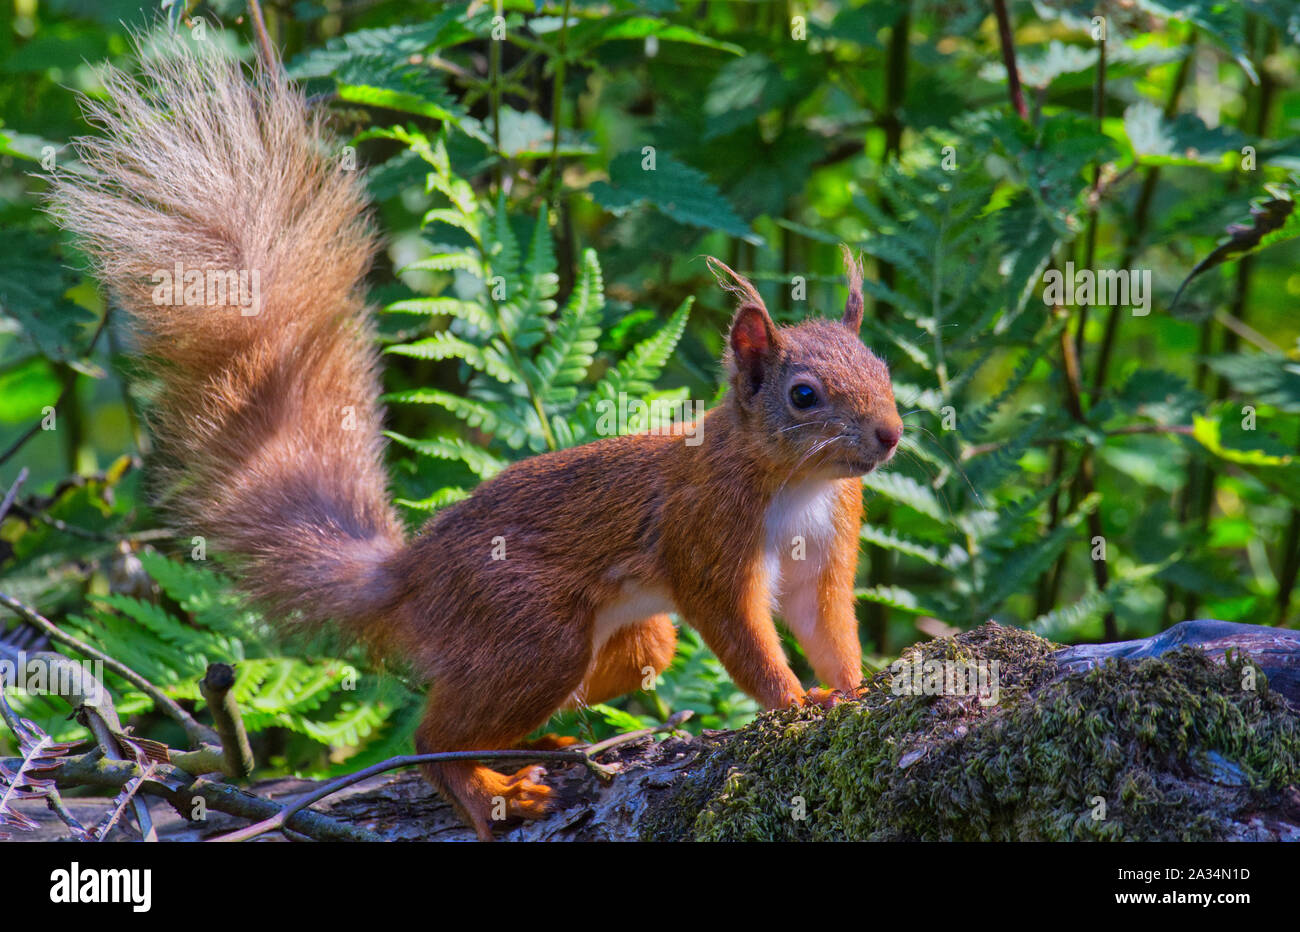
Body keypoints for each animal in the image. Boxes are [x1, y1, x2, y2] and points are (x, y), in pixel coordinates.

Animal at [47, 43, 903, 840]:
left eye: (883, 368)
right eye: (803, 396)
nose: (890, 436)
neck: (795, 482)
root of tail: (407, 580)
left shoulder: (830, 541)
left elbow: (826, 619)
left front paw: (852, 686)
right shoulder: (707, 534)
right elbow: (741, 633)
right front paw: (795, 701)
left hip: (620, 640)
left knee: (594, 674)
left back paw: (538, 744)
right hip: (531, 628)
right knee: (433, 734)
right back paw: (490, 787)